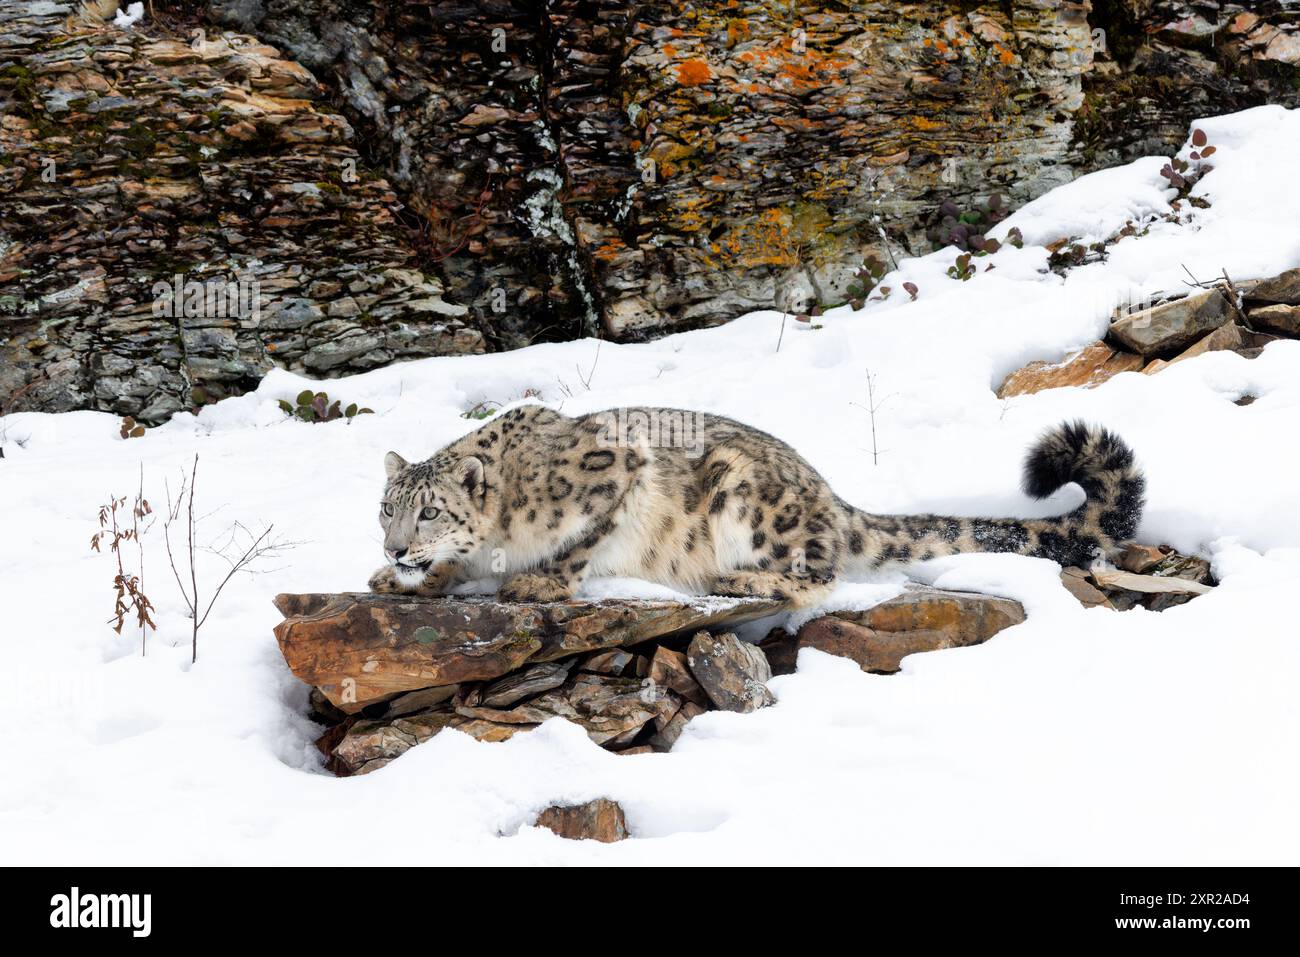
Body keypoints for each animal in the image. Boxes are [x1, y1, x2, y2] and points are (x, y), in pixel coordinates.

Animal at [369, 405, 1145, 608]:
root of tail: (830, 494)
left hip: (752, 503)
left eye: (430, 511)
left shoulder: (616, 475)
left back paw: (741, 578)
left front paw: (540, 581)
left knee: (817, 575)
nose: (394, 547)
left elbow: (580, 544)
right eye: (386, 508)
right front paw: (397, 580)